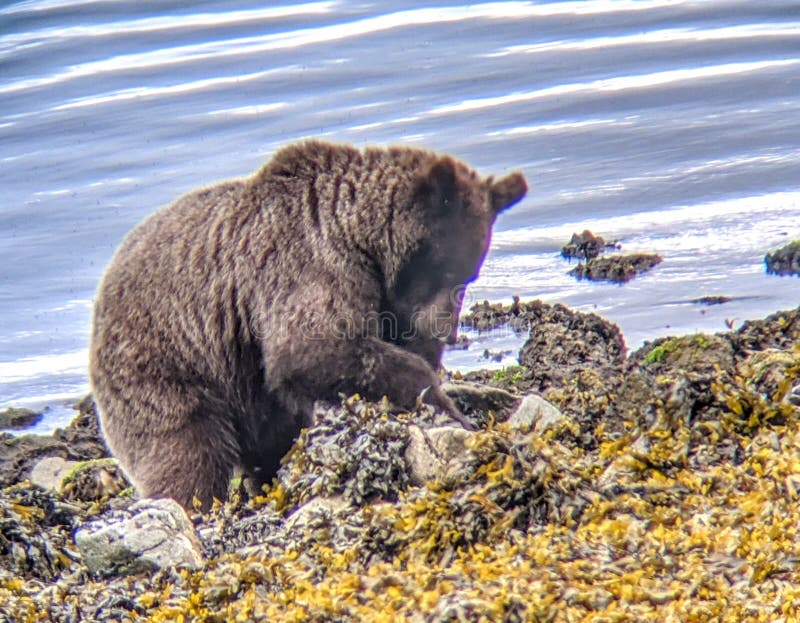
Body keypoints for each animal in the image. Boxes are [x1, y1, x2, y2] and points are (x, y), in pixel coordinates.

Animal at [89, 140, 527, 508]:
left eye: (469, 276)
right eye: (449, 270)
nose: (446, 332)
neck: (359, 238)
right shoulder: (307, 263)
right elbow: (309, 349)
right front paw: (442, 402)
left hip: (246, 386)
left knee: (268, 435)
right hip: (164, 366)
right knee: (188, 450)